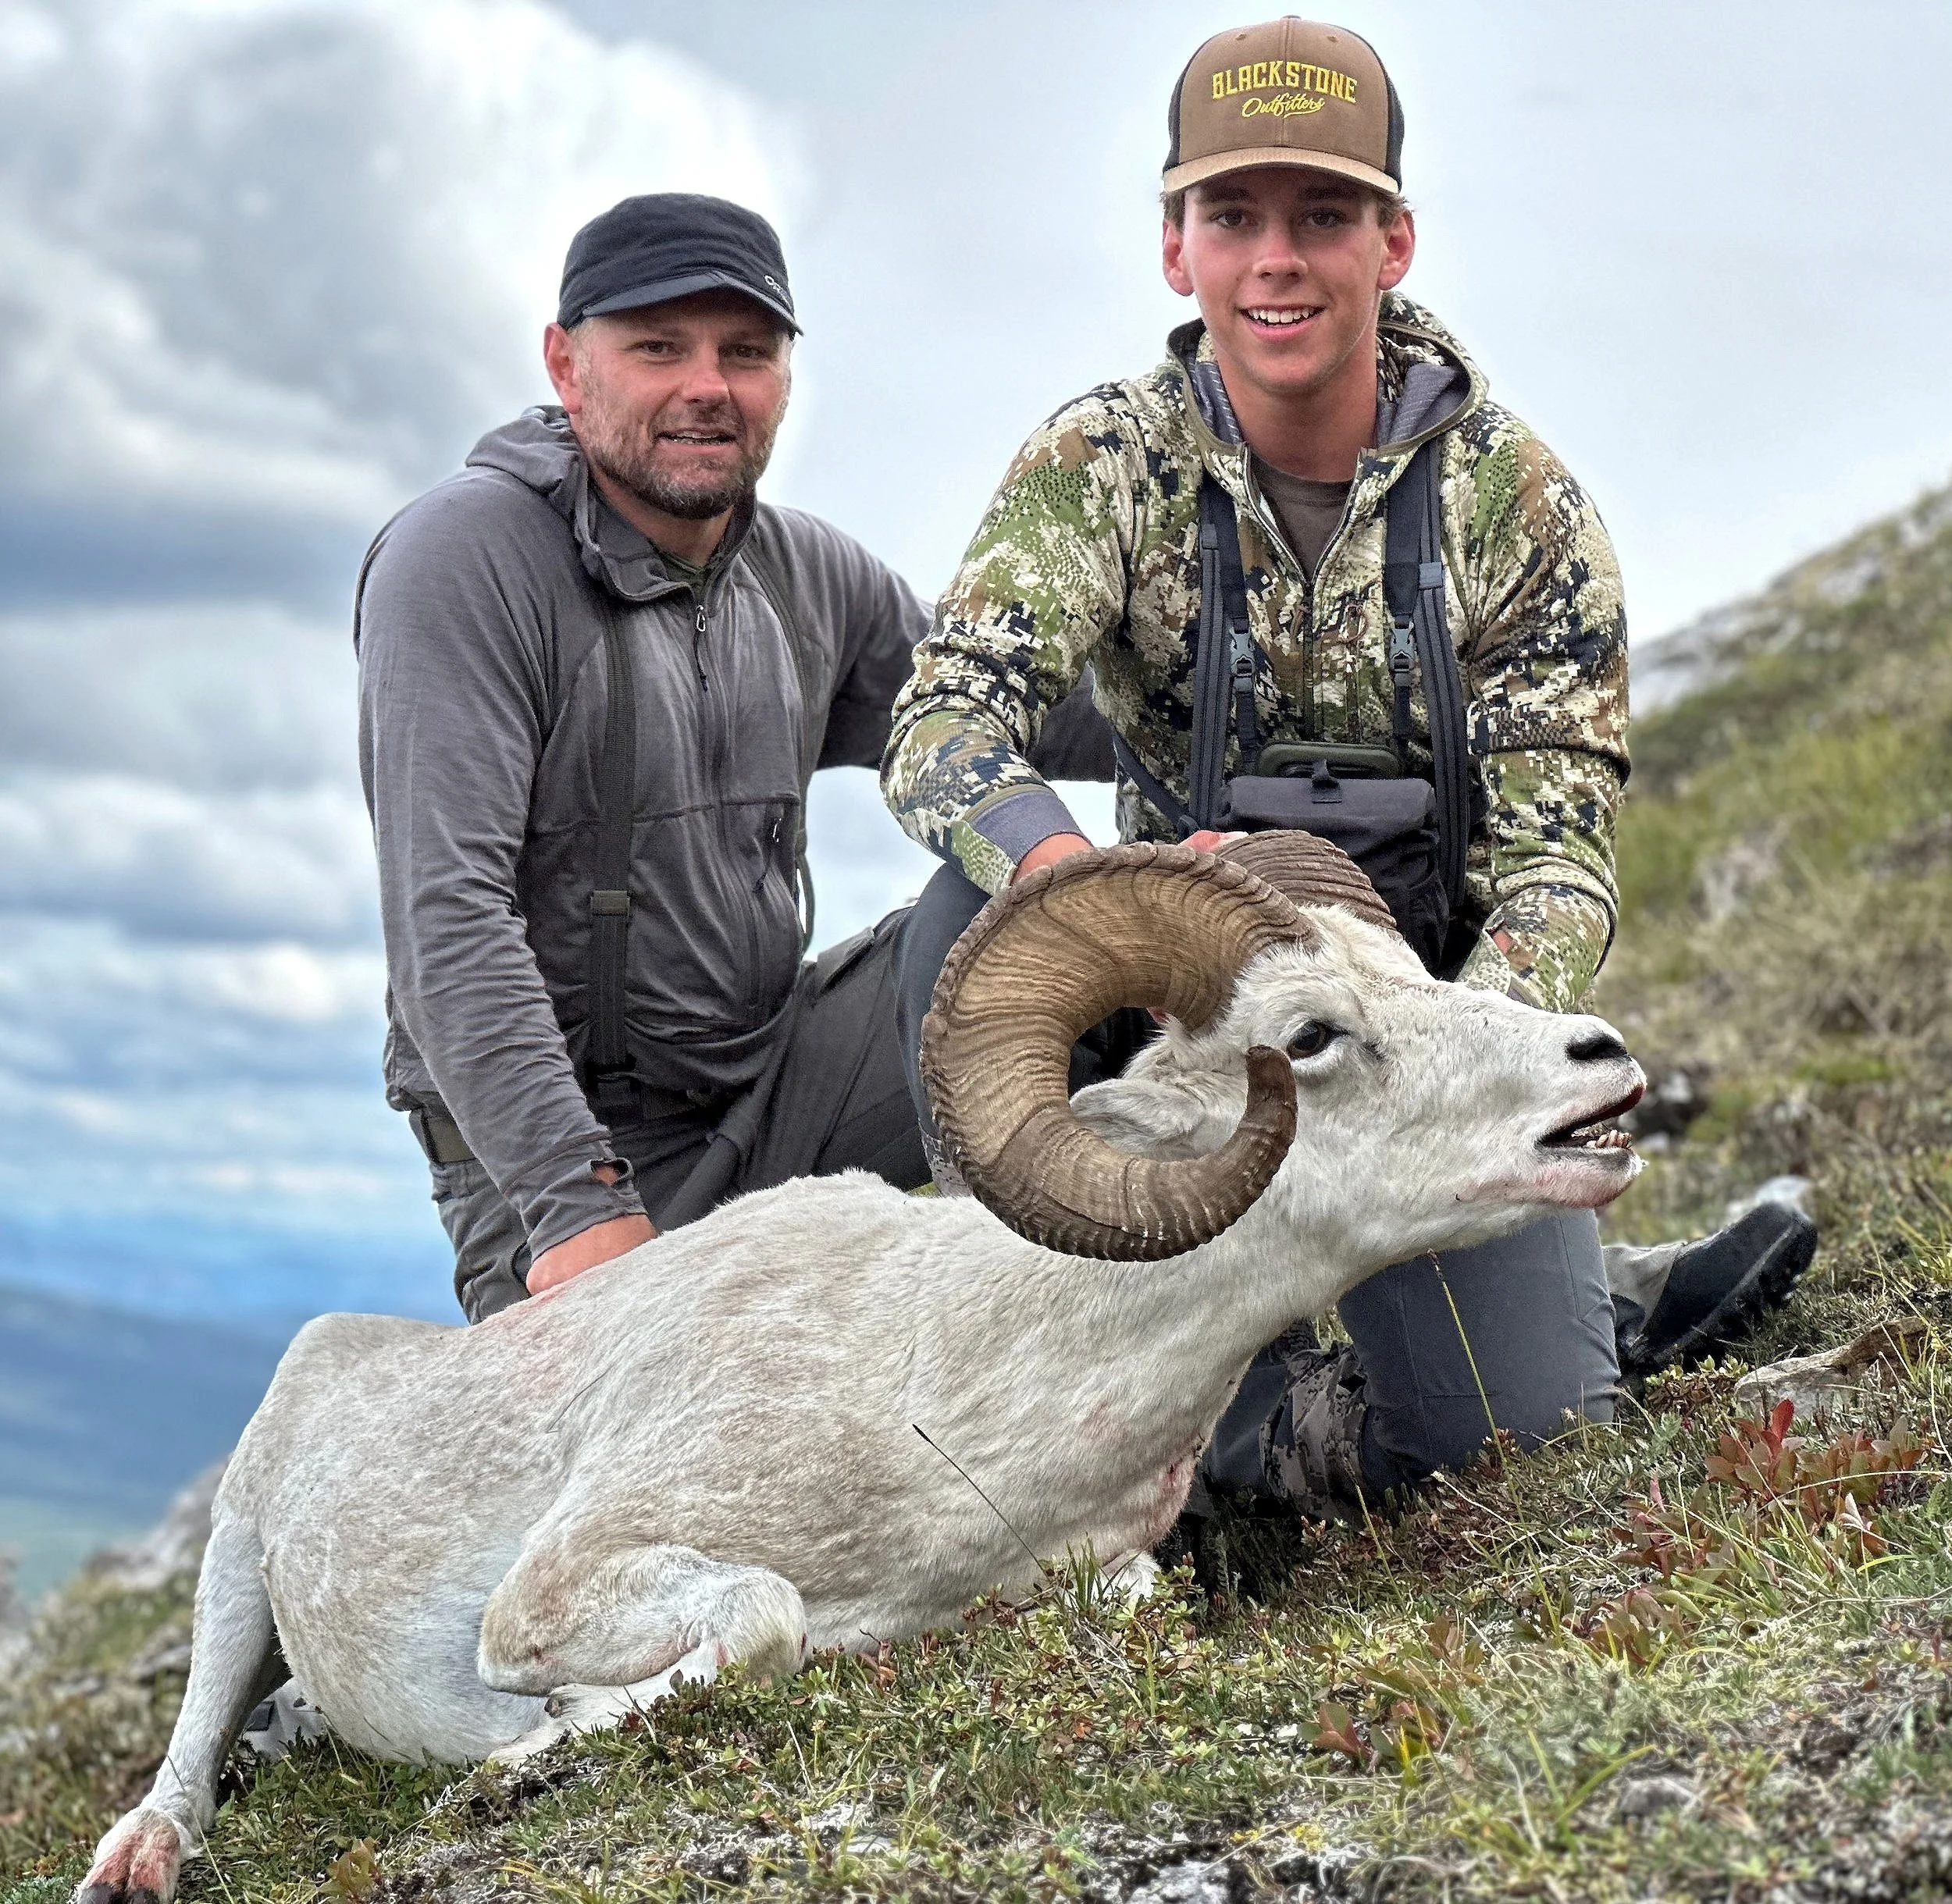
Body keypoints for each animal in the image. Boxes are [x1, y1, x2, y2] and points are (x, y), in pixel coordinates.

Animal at [78, 838, 1644, 1904]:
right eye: (1313, 1033)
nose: (1606, 1063)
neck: (946, 1391)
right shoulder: (558, 1590)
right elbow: (763, 1618)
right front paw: (537, 1744)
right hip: (235, 1566)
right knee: (191, 1746)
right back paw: (138, 1852)